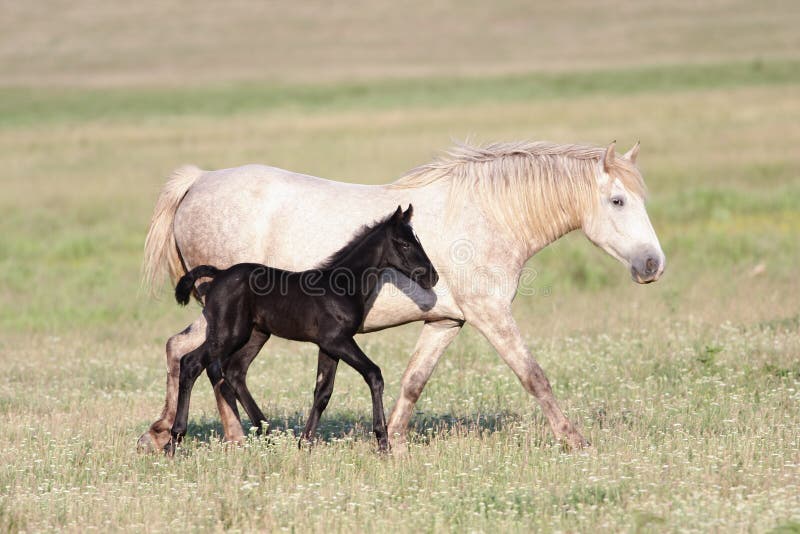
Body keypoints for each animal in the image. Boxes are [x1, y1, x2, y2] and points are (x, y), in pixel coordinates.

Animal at [165, 205, 436, 454]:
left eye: (418, 240)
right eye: (404, 244)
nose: (433, 277)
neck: (343, 285)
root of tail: (219, 275)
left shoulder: (328, 346)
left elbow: (323, 392)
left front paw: (304, 442)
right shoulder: (337, 340)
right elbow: (373, 374)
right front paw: (383, 442)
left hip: (256, 334)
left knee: (234, 372)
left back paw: (269, 436)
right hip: (228, 334)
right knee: (191, 363)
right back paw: (174, 440)